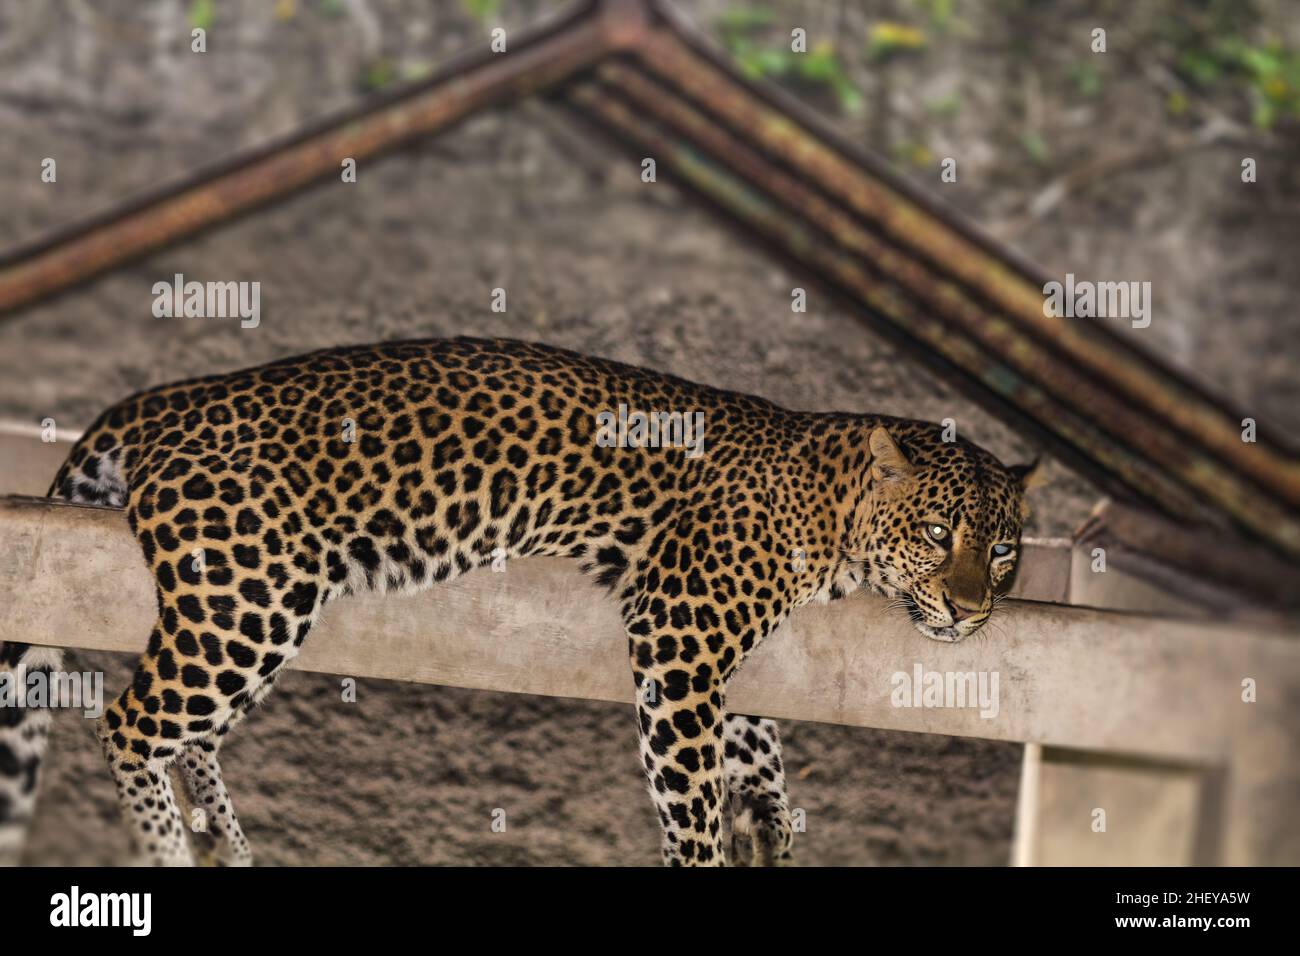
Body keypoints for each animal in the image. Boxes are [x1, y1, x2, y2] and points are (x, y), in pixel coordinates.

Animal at [0, 336, 1037, 866]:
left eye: (1004, 549)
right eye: (937, 534)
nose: (970, 610)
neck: (833, 517)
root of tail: (161, 398)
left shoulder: (723, 652)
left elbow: (757, 742)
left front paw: (772, 822)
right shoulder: (682, 630)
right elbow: (690, 793)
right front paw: (720, 839)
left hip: (255, 612)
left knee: (192, 728)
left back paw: (222, 833)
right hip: (252, 590)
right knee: (131, 722)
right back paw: (167, 847)